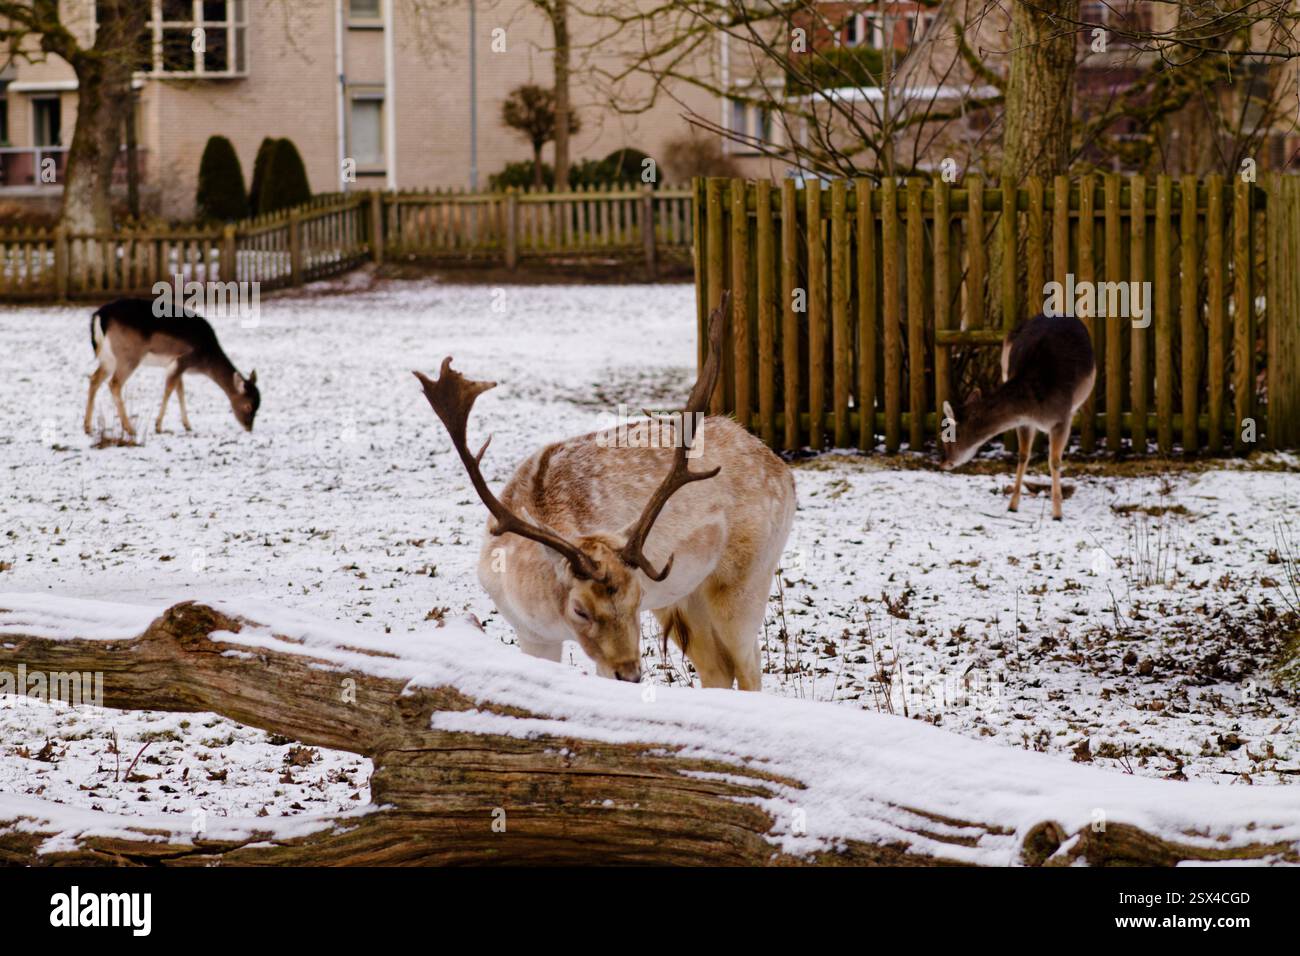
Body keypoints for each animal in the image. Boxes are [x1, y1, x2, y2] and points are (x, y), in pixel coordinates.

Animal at [84, 297, 261, 437]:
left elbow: (180, 391)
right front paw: (158, 426)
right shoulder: (183, 360)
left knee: (94, 379)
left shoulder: (177, 366)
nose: (249, 427)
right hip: (128, 357)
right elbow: (170, 389)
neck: (205, 358)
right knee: (114, 384)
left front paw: (187, 425)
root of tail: (100, 315)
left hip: (108, 358)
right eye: (248, 405)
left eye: (258, 405)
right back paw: (130, 429)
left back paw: (87, 427)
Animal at [413, 292, 796, 690]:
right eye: (580, 609)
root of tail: (783, 470)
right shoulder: (530, 634)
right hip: (684, 597)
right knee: (717, 669)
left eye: (638, 598)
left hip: (748, 576)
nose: (630, 673)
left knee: (750, 665)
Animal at [939, 313, 1096, 520]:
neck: (1036, 403)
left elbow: (1054, 461)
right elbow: (1022, 456)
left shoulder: (1061, 419)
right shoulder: (1024, 421)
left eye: (946, 436)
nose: (943, 463)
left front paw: (1057, 513)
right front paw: (1012, 505)